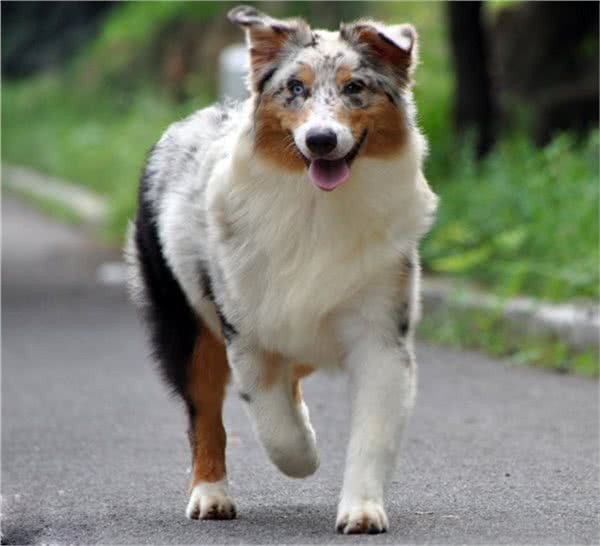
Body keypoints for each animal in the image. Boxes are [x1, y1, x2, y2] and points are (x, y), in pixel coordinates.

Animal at [126, 4, 436, 532]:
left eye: (355, 87)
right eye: (295, 88)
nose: (321, 139)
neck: (317, 206)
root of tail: (195, 116)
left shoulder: (380, 333)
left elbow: (371, 432)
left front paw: (361, 510)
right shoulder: (246, 329)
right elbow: (273, 423)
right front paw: (304, 454)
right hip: (185, 321)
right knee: (204, 414)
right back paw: (210, 495)